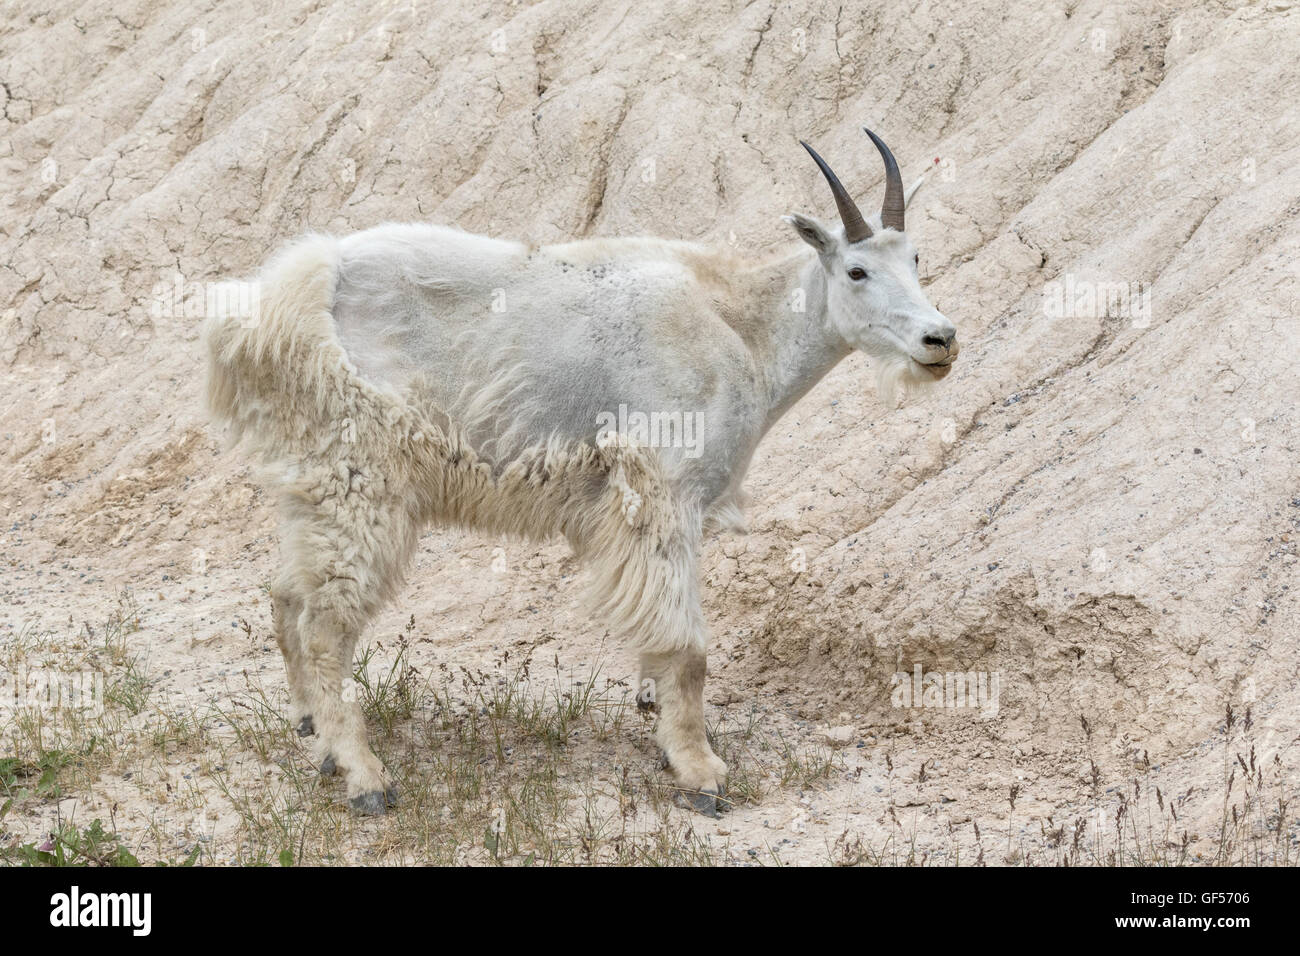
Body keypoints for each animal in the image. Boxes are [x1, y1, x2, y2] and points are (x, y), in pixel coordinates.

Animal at [202, 128, 958, 816]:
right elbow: (688, 645)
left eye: (917, 256)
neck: (740, 327)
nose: (940, 339)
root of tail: (284, 298)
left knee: (286, 595)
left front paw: (657, 716)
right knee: (326, 626)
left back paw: (314, 734)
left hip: (316, 477)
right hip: (362, 475)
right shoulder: (661, 488)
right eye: (857, 271)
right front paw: (699, 770)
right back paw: (364, 777)